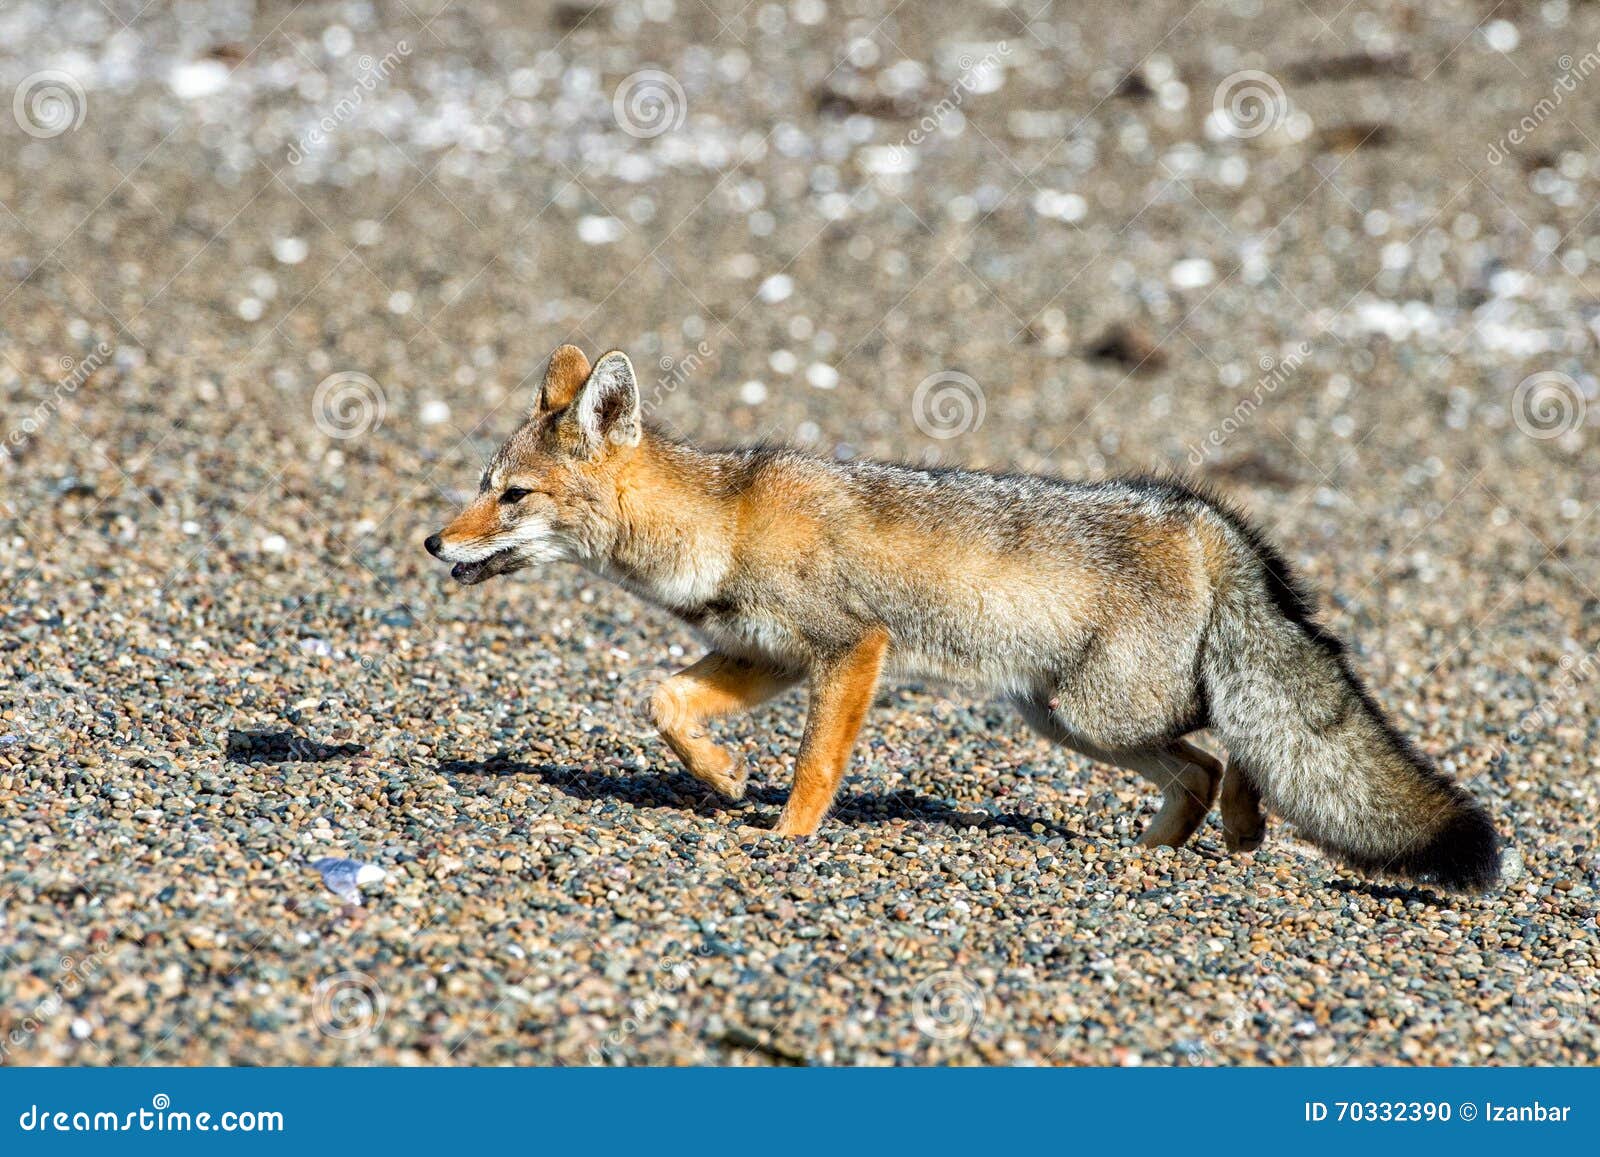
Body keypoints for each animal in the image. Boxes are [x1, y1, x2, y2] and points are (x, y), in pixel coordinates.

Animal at [425, 344, 1502, 891]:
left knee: (1239, 739)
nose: (435, 543)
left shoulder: (850, 649)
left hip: (1103, 710)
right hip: (1064, 717)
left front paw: (788, 836)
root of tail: (1200, 517)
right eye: (480, 487)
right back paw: (1163, 850)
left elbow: (816, 764)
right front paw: (723, 775)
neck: (722, 520)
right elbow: (665, 701)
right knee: (1202, 764)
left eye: (511, 497)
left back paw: (1237, 824)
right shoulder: (765, 652)